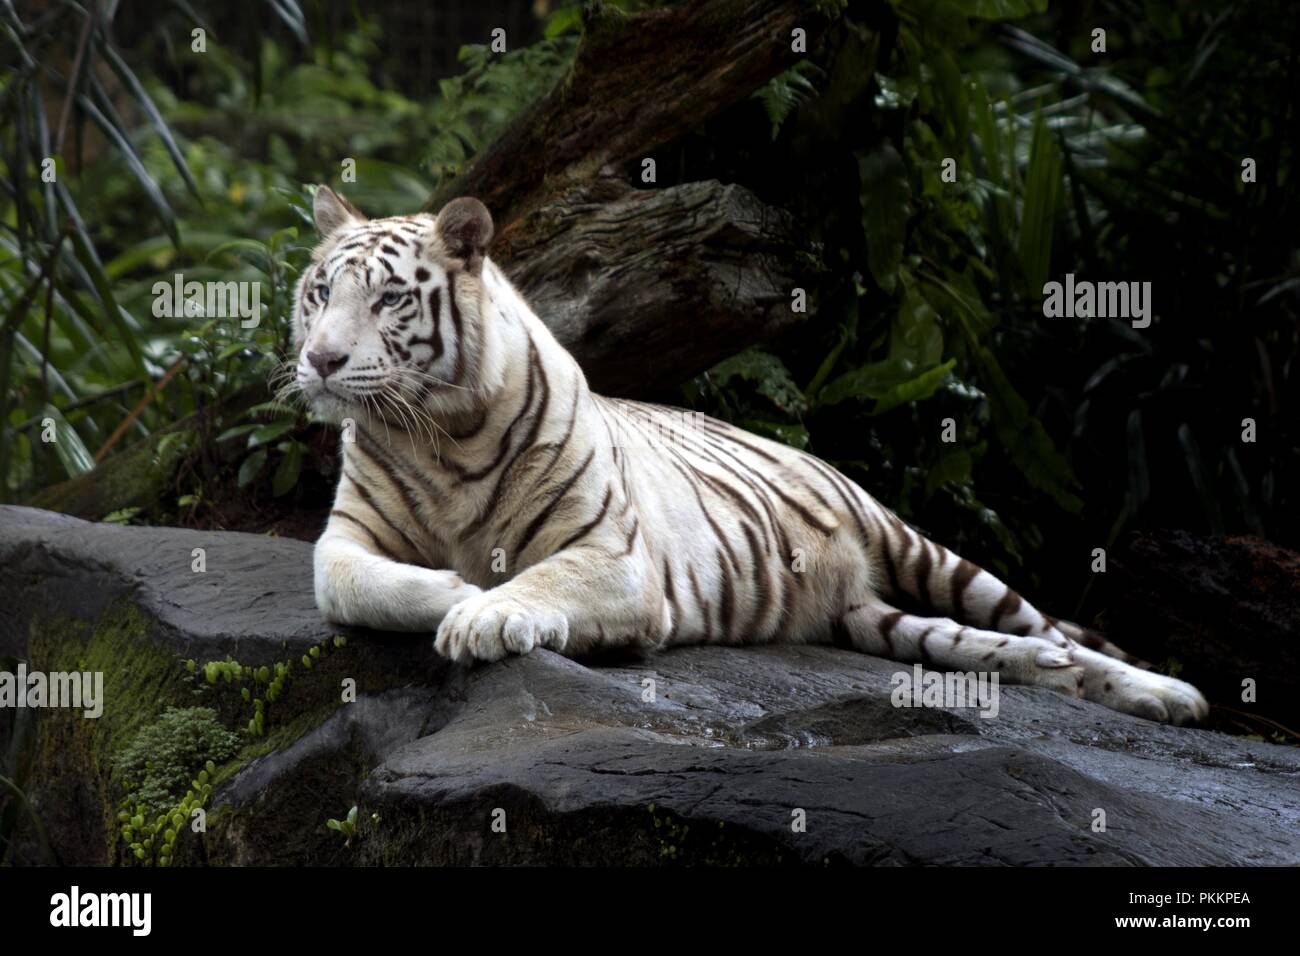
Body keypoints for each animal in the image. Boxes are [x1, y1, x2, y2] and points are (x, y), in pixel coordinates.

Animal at [289, 185, 1209, 725]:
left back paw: (1172, 694)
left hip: (920, 545)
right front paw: (456, 590)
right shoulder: (344, 540)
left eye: (389, 299)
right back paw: (1054, 674)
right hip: (880, 620)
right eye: (320, 293)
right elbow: (358, 582)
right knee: (981, 644)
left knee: (1052, 629)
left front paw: (483, 610)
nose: (322, 360)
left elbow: (541, 580)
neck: (438, 431)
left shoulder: (617, 560)